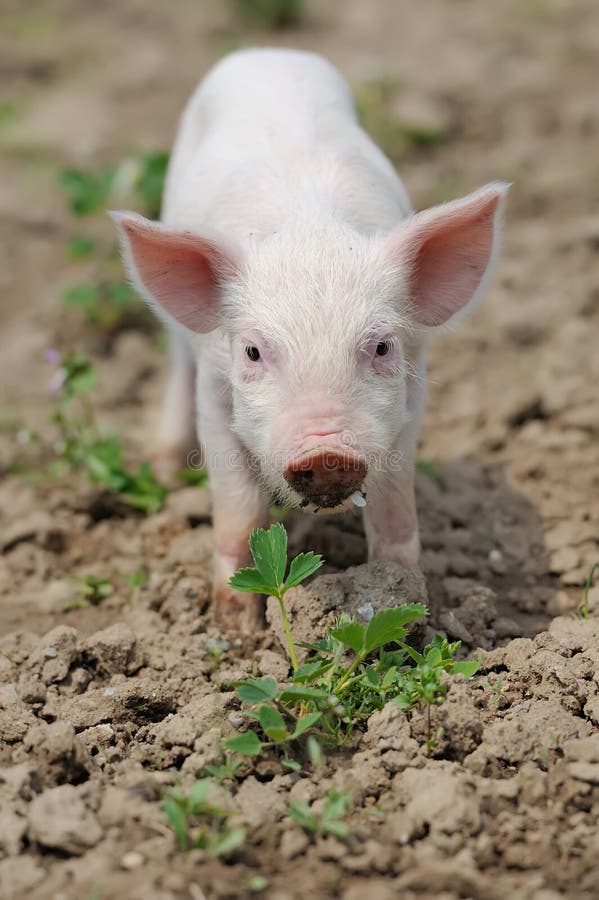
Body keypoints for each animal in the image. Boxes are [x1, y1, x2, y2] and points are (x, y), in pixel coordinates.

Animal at [112, 48, 508, 630]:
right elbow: (237, 502)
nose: (326, 453)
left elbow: (395, 502)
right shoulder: (214, 386)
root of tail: (267, 53)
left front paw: (405, 606)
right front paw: (235, 629)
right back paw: (163, 473)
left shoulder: (412, 394)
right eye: (253, 351)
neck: (310, 233)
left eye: (382, 347)